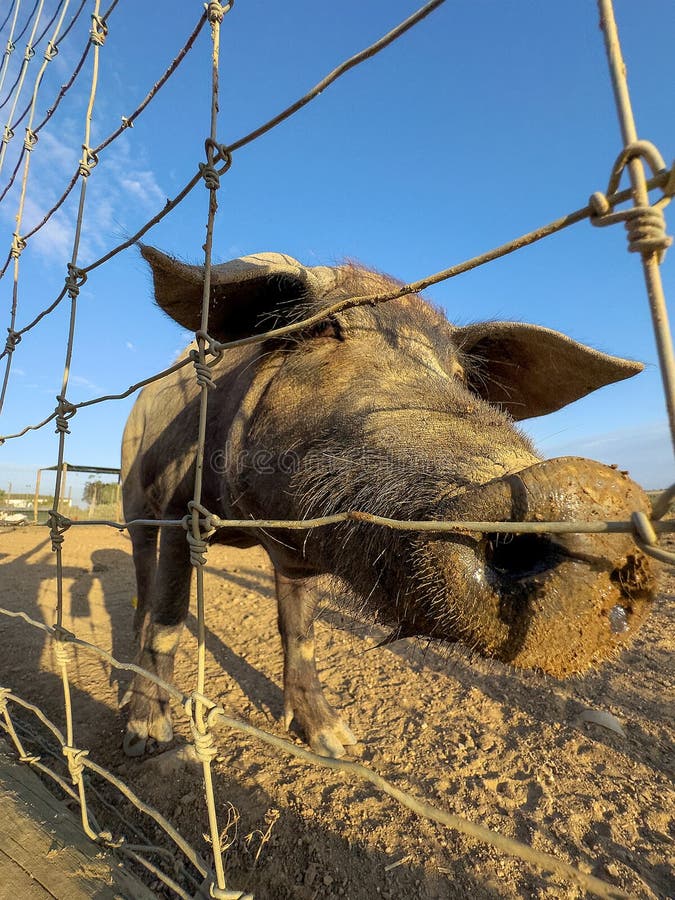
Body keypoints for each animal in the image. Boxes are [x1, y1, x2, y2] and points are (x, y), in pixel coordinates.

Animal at [120, 245, 658, 758]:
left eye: (460, 374)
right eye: (327, 330)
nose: (585, 488)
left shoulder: (299, 548)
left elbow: (301, 633)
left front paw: (338, 743)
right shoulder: (180, 511)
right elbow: (170, 619)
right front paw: (148, 737)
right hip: (134, 503)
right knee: (144, 589)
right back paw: (128, 696)